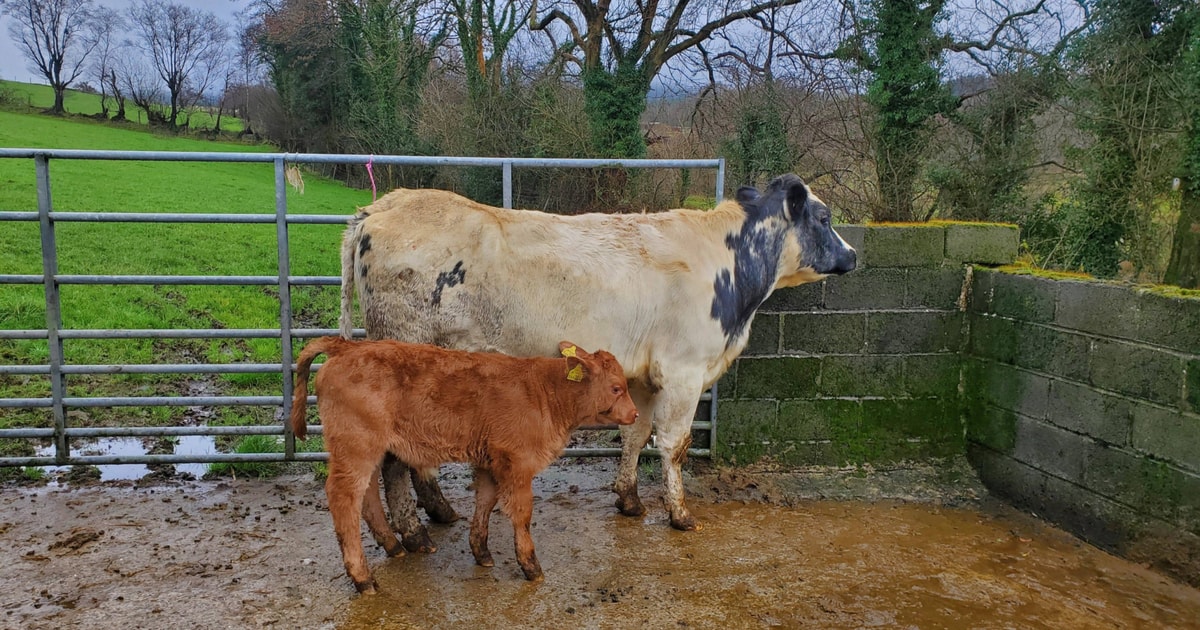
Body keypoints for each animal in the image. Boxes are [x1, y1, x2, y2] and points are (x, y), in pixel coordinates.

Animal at [290, 337, 639, 593]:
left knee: (366, 496)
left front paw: (481, 552)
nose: (635, 414)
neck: (546, 392)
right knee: (344, 498)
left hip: (373, 451)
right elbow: (522, 514)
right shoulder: (518, 463)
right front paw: (530, 566)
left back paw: (393, 546)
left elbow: (485, 502)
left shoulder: (490, 462)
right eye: (616, 388)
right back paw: (363, 579)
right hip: (355, 447)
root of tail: (348, 345)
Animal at [338, 173, 857, 536]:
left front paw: (629, 500)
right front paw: (680, 514)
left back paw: (440, 512)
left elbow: (635, 435)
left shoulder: (645, 377)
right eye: (825, 217)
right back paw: (410, 533)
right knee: (393, 454)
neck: (727, 268)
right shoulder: (684, 371)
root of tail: (382, 206)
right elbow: (674, 445)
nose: (853, 255)